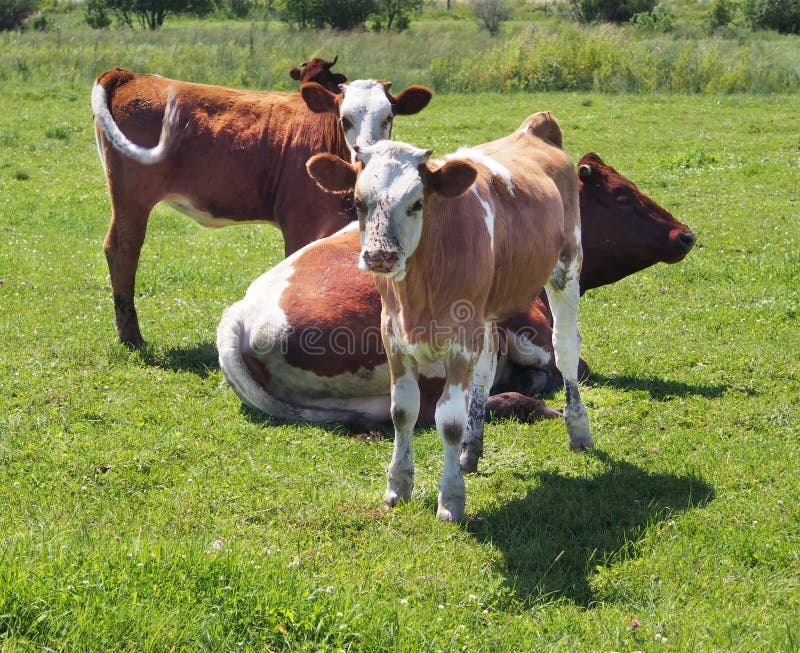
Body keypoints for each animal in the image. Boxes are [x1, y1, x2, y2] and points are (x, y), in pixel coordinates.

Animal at [91, 63, 432, 347]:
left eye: (388, 118)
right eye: (344, 119)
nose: (365, 158)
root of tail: (128, 75)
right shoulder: (300, 223)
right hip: (132, 196)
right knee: (122, 249)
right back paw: (132, 337)